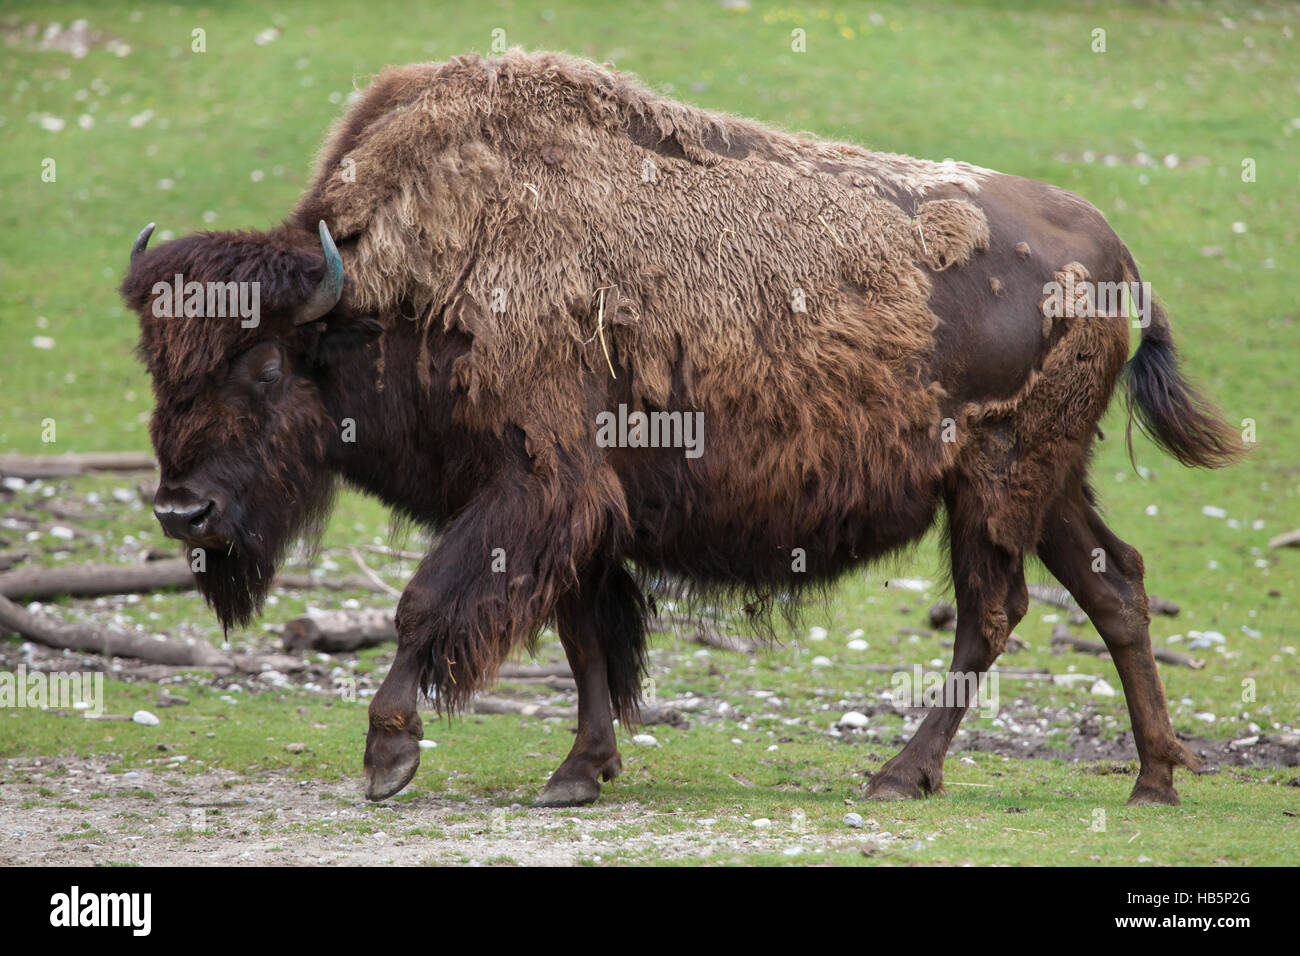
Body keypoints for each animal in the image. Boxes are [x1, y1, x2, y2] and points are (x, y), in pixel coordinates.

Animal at [121, 50, 1243, 807]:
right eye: (158, 367)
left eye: (266, 363)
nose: (181, 511)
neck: (389, 287)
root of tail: (1115, 253)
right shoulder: (582, 516)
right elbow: (583, 637)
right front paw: (579, 770)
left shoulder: (538, 488)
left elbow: (427, 604)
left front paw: (388, 755)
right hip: (1048, 484)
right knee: (1113, 586)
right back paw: (1152, 778)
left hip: (994, 483)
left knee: (994, 609)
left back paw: (901, 772)